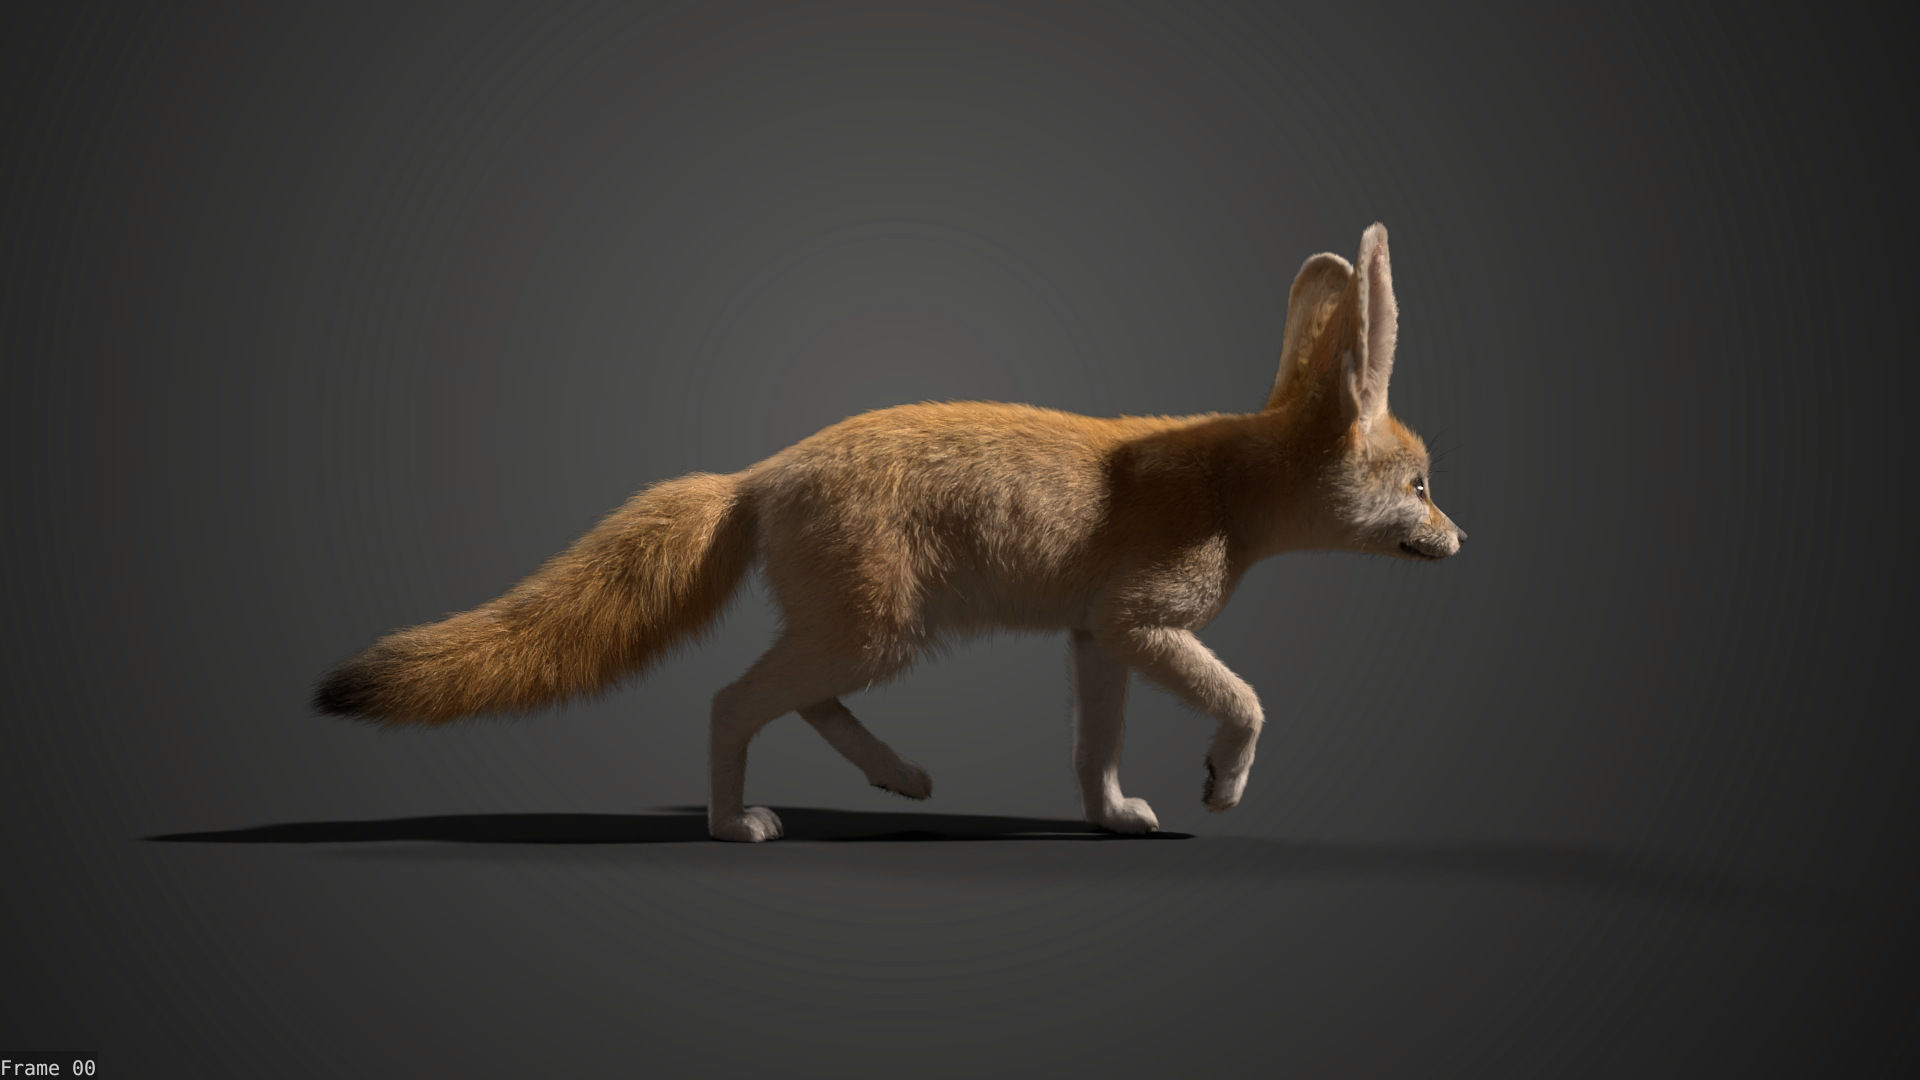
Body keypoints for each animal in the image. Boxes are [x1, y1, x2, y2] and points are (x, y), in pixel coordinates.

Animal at [313, 222, 1465, 842]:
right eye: (1421, 485)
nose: (1463, 542)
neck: (1233, 483)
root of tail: (760, 472)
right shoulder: (1145, 624)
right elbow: (1250, 703)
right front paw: (1222, 783)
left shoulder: (1098, 636)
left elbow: (1094, 751)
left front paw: (1112, 817)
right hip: (880, 636)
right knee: (733, 701)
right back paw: (736, 825)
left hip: (865, 636)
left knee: (799, 699)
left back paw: (898, 779)